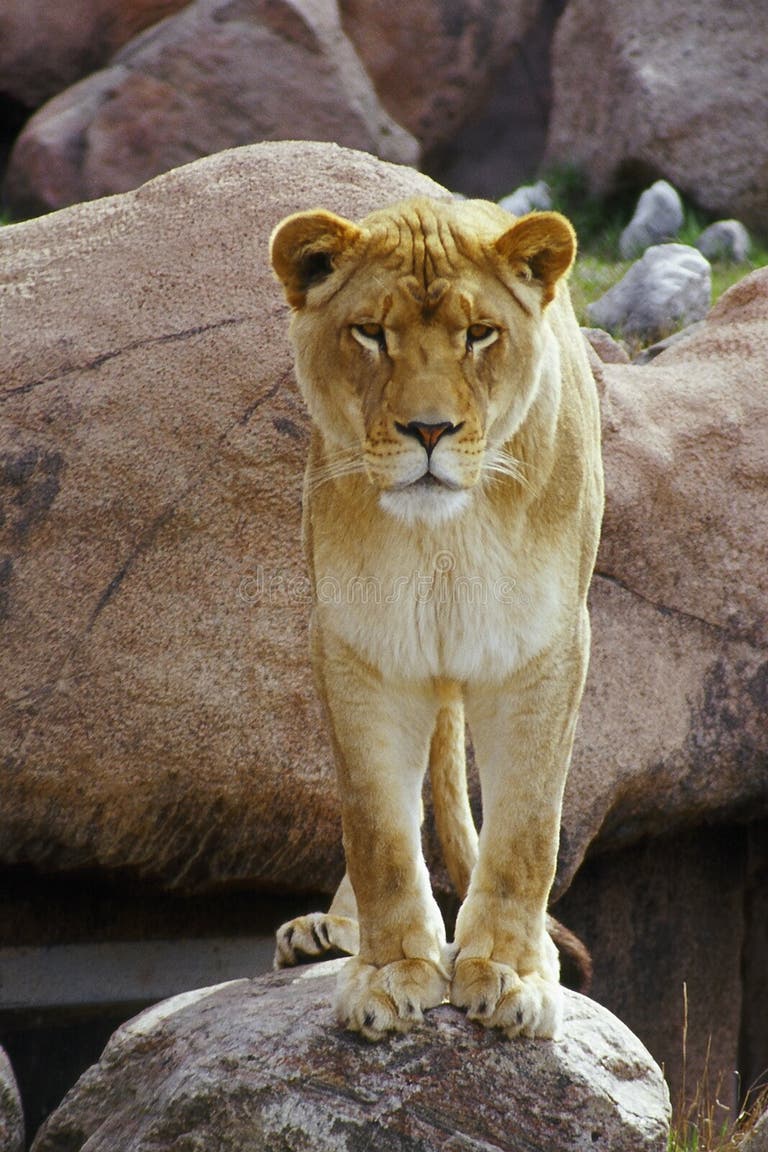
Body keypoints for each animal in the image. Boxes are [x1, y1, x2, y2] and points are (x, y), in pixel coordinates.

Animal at [269, 196, 603, 1041]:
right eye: (370, 333)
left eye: (479, 333)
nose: (429, 431)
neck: (444, 539)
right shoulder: (359, 648)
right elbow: (377, 831)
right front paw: (390, 975)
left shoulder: (545, 650)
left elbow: (526, 832)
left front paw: (512, 976)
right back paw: (329, 930)